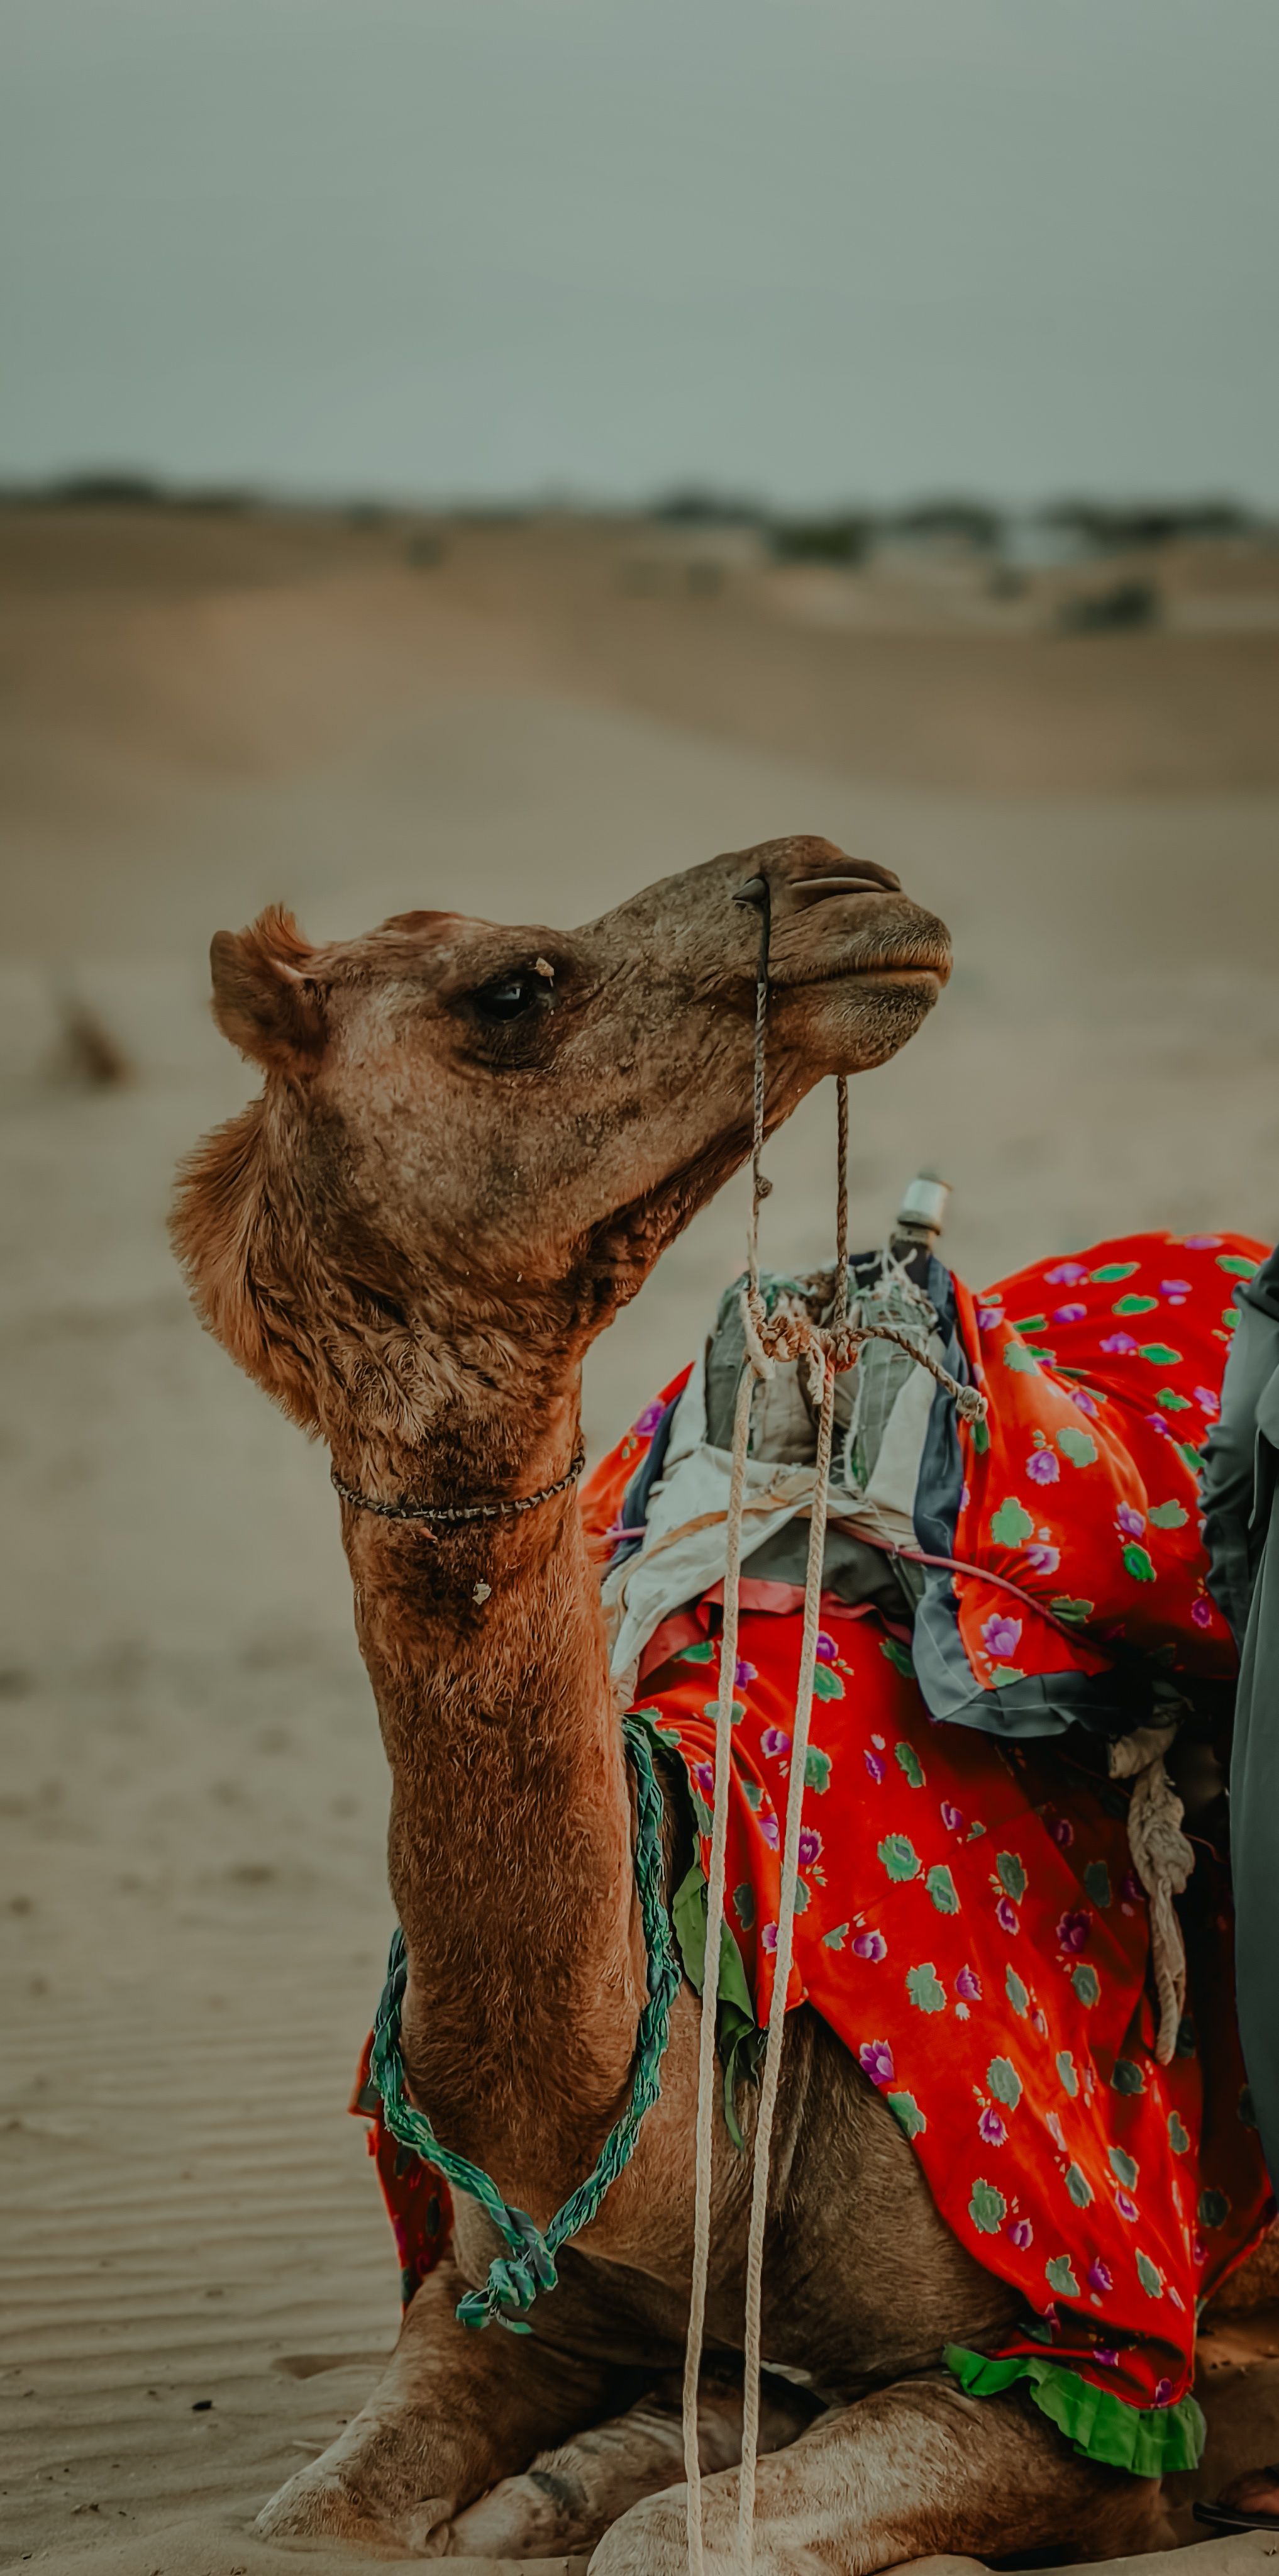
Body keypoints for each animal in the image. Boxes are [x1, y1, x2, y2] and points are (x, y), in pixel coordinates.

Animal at [173, 835, 1214, 2572]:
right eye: (512, 988)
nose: (848, 881)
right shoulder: (495, 2296)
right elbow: (302, 2522)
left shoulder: (1083, 2375)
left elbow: (669, 2535)